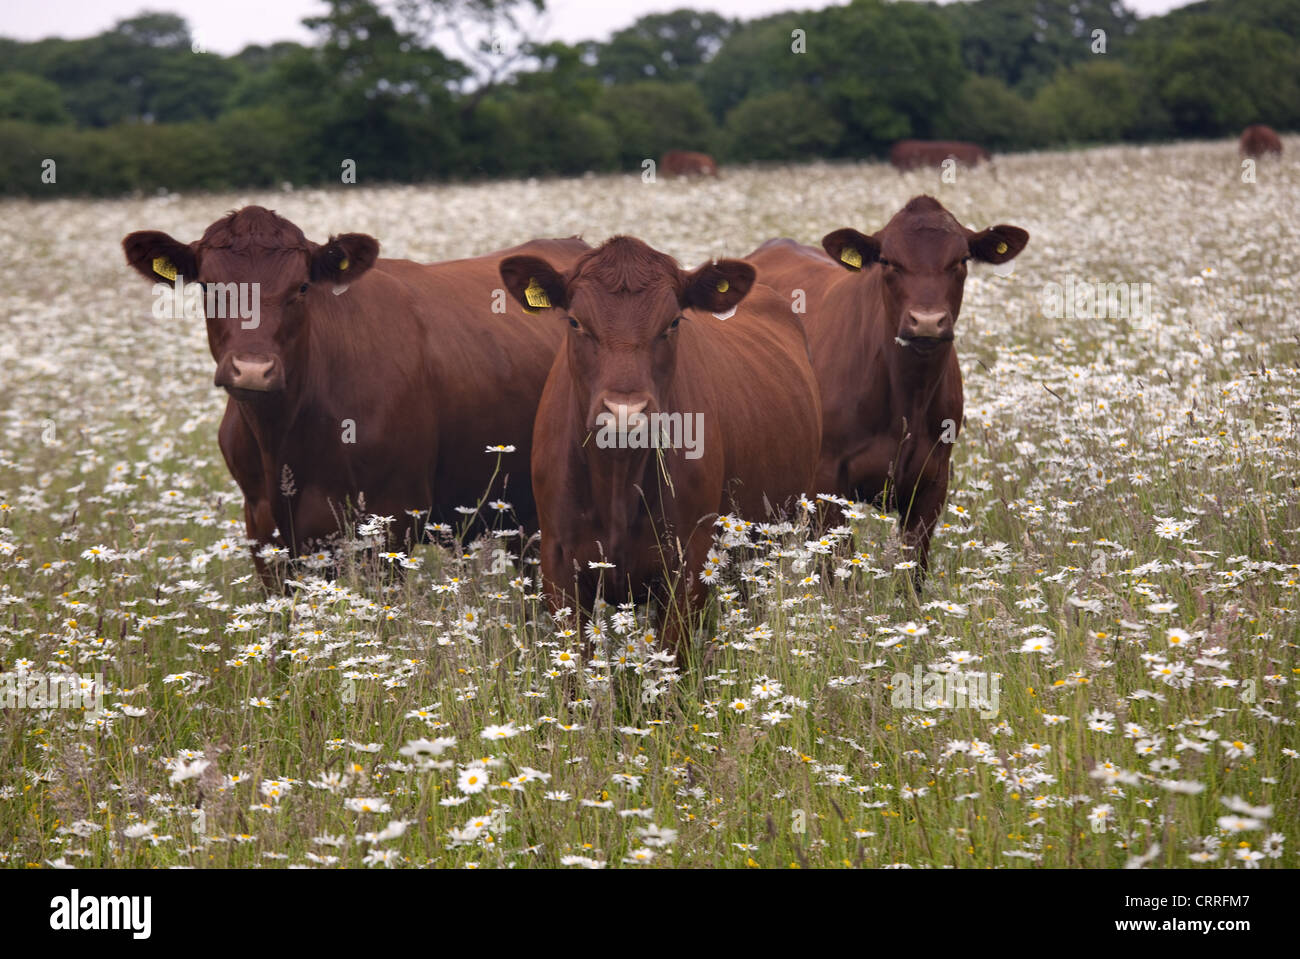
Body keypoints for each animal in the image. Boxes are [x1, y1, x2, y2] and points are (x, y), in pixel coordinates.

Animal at [122, 206, 589, 586]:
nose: (253, 370)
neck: (283, 438)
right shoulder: (262, 527)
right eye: (208, 287)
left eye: (302, 287)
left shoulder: (391, 519)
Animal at [498, 236, 821, 658]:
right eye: (575, 322)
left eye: (673, 323)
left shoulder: (691, 558)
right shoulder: (557, 558)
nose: (625, 413)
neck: (616, 477)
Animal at [746, 195, 1028, 586]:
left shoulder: (933, 480)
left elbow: (913, 571)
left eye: (960, 260)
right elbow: (838, 572)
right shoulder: (826, 481)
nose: (927, 321)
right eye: (888, 261)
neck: (908, 398)